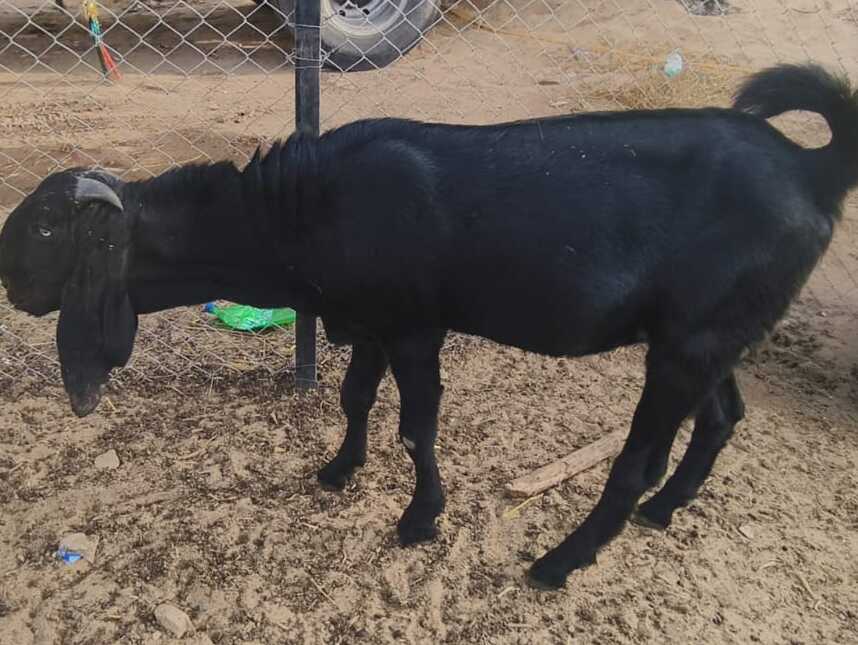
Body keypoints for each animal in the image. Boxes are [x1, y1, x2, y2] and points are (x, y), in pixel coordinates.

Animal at [1, 64, 856, 590]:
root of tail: (812, 169)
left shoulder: (414, 326)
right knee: (722, 416)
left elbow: (416, 425)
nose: (8, 282)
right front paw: (339, 470)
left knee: (637, 462)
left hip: (688, 345)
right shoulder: (368, 320)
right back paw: (667, 508)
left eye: (44, 228)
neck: (306, 206)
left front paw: (419, 517)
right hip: (710, 335)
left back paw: (560, 561)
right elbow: (354, 398)